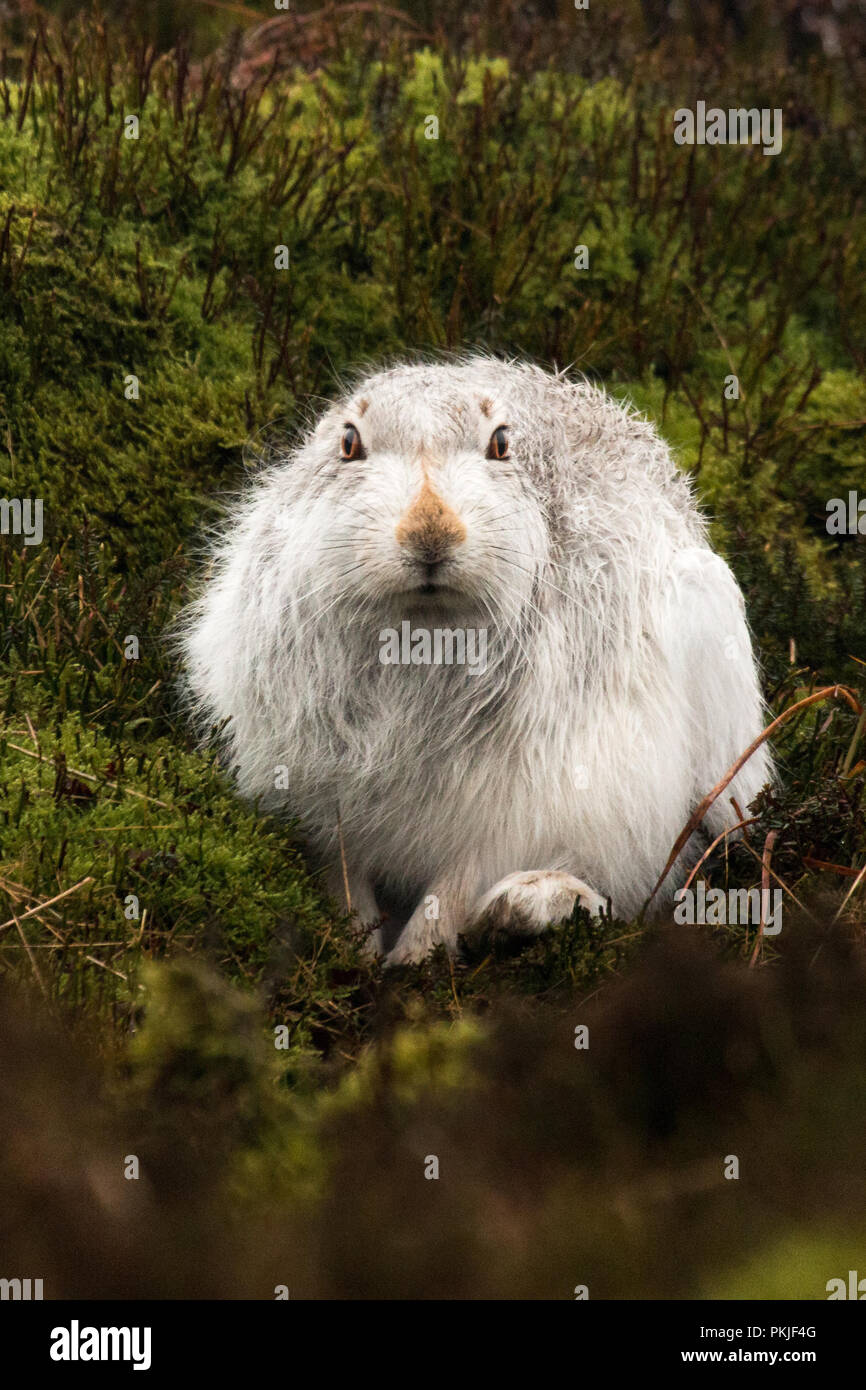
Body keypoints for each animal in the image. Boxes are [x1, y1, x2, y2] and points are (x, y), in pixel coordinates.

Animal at [178, 355, 772, 964]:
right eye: (348, 443)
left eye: (501, 443)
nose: (430, 533)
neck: (420, 631)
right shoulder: (319, 799)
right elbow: (344, 874)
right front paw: (355, 948)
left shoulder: (523, 808)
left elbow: (455, 887)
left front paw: (413, 960)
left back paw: (536, 902)